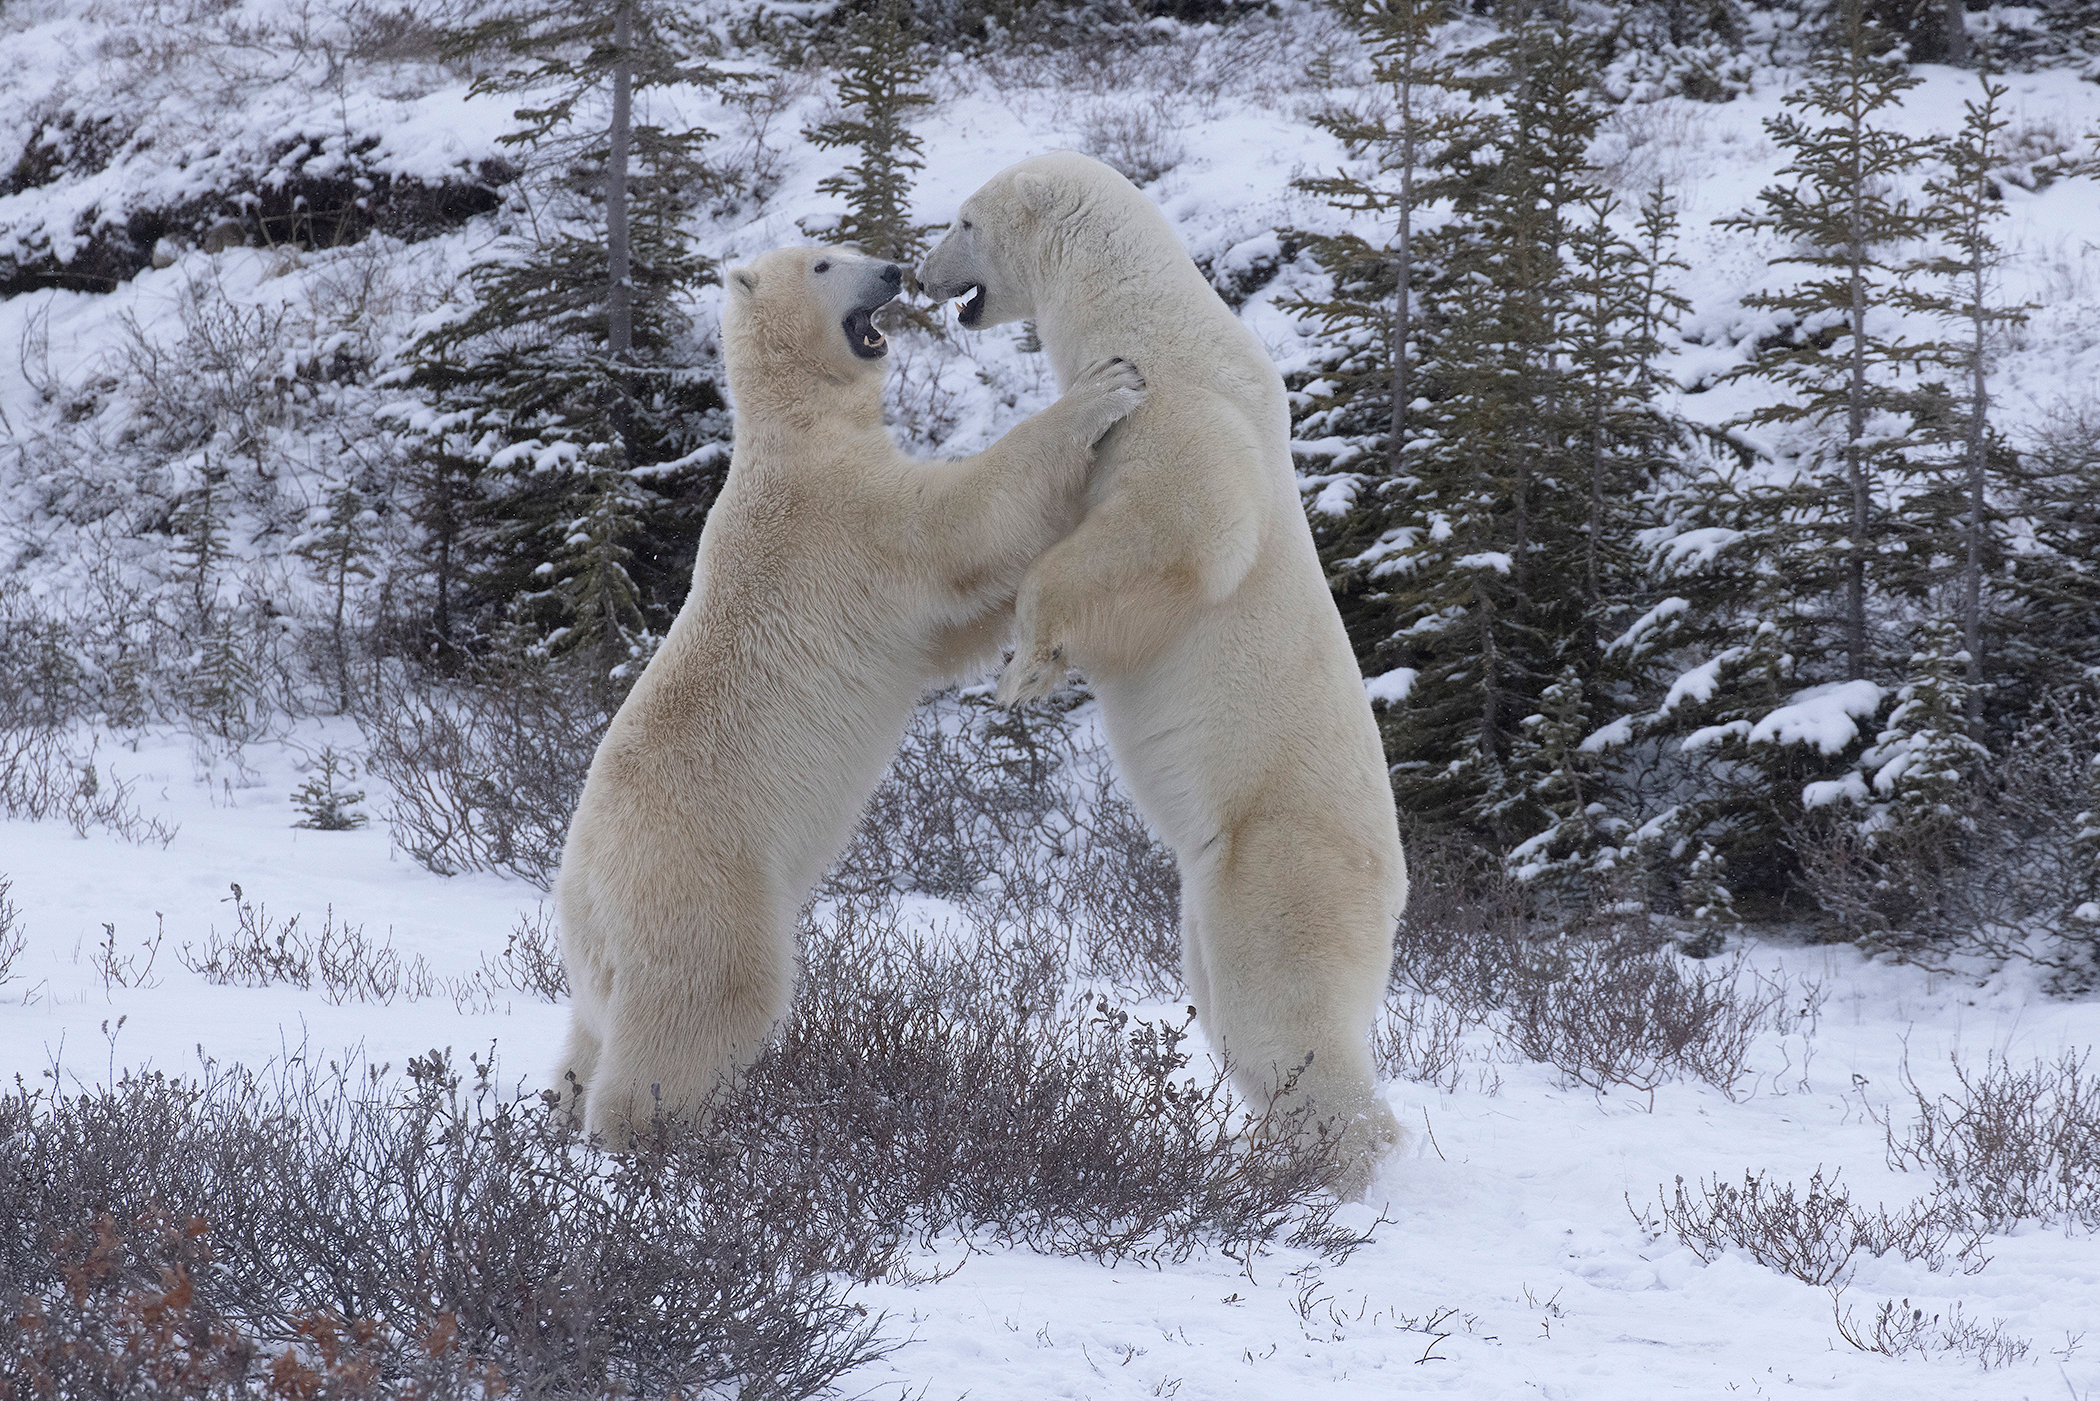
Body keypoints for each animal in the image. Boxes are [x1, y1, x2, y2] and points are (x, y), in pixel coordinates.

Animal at [553, 245, 1147, 1139]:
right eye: (826, 262)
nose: (894, 269)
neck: (801, 429)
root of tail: (581, 886)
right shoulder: (843, 517)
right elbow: (960, 525)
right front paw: (1106, 387)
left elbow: (955, 628)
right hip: (701, 877)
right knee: (707, 999)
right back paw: (656, 1132)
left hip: (608, 945)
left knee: (586, 1031)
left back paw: (556, 1107)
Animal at [921, 152, 1407, 1198]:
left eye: (965, 220)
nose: (921, 272)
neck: (1151, 318)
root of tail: (1390, 890)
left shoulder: (1181, 418)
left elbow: (1176, 532)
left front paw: (1024, 666)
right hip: (1206, 899)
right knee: (1230, 1014)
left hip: (1274, 865)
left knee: (1281, 1018)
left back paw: (1323, 1173)